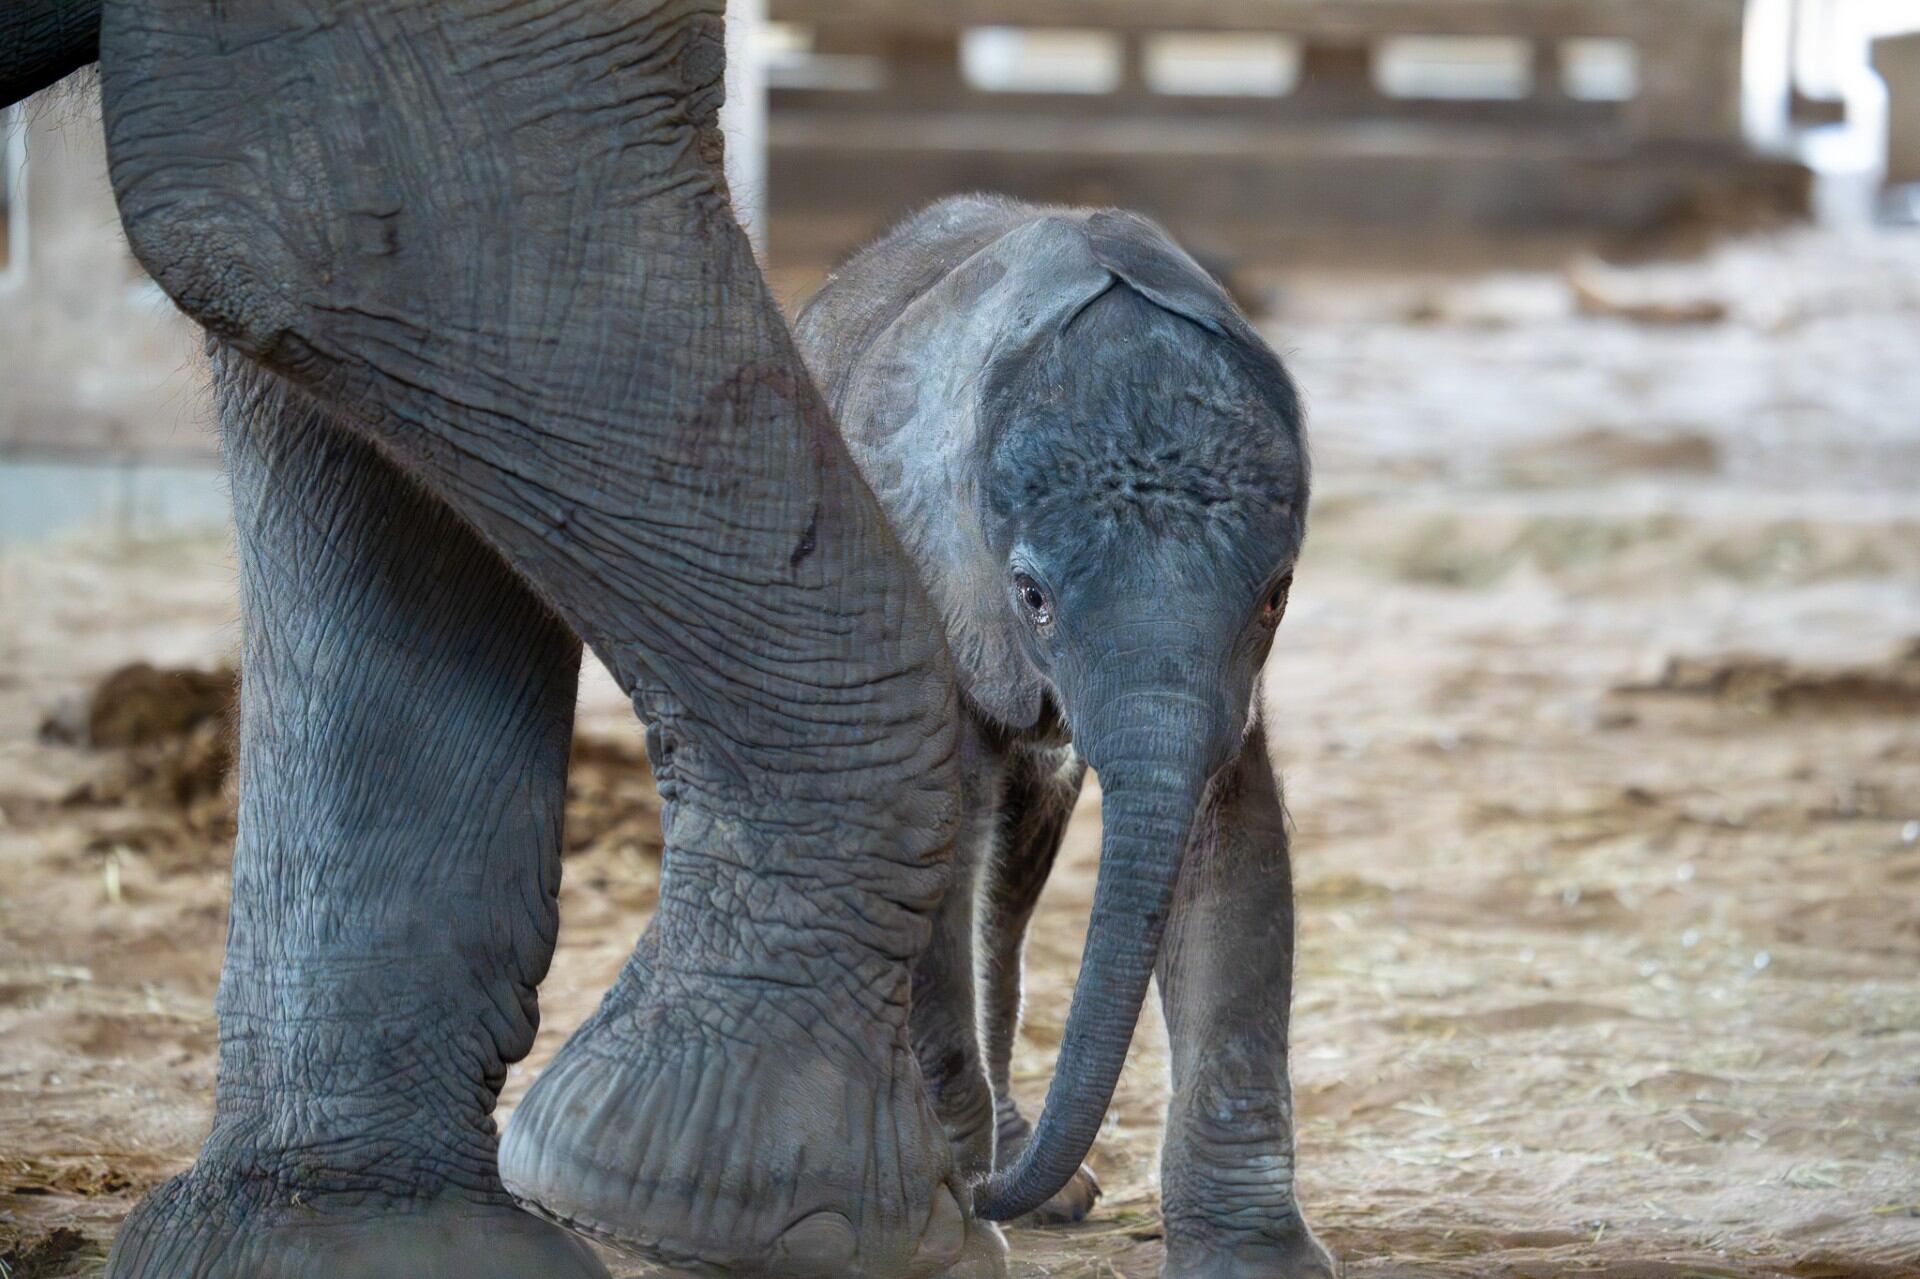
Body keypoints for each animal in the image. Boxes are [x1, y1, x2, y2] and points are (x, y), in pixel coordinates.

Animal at [795, 196, 1334, 1277]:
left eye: (1276, 596)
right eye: (1031, 596)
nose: (974, 1191)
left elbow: (1234, 848)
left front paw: (1259, 1265)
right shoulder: (932, 571)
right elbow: (935, 836)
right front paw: (951, 1219)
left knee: (1011, 883)